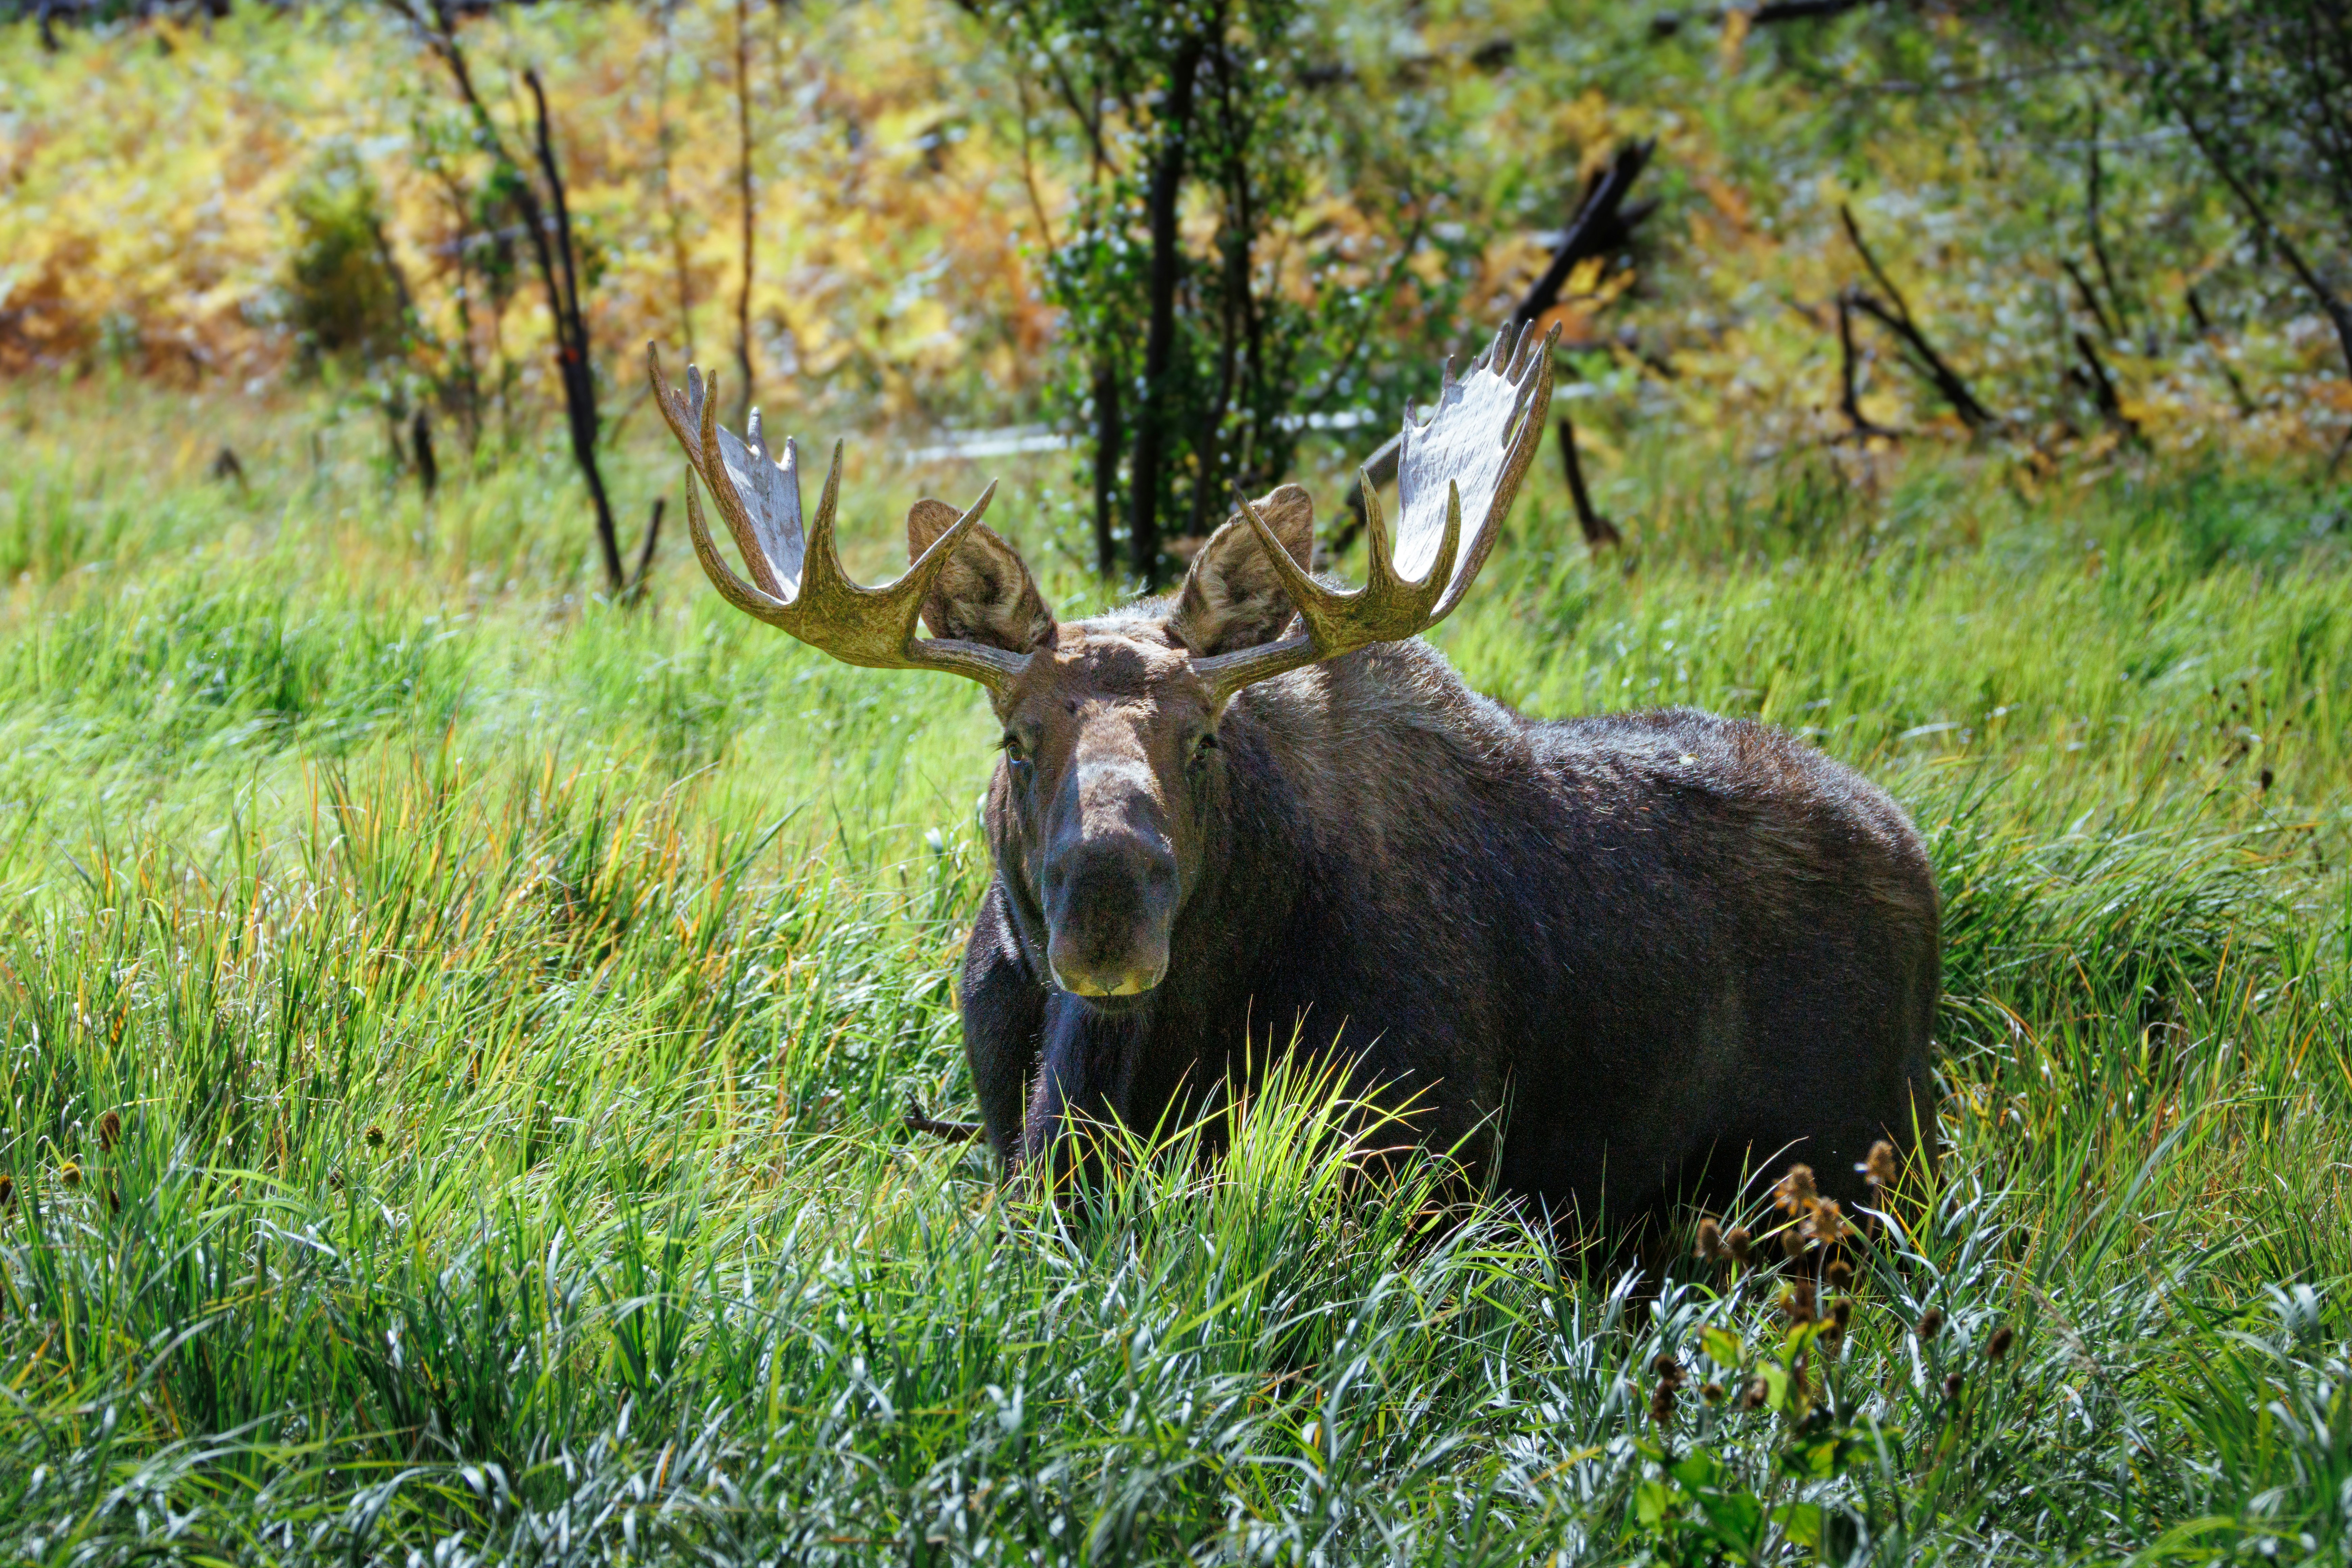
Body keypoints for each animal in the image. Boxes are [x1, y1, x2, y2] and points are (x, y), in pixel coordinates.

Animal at [645, 323, 1939, 1233]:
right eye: (1014, 738)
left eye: (1203, 738)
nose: (1107, 907)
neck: (1140, 1049)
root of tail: (1913, 854)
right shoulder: (1013, 1134)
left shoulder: (1422, 1141)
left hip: (1854, 1159)